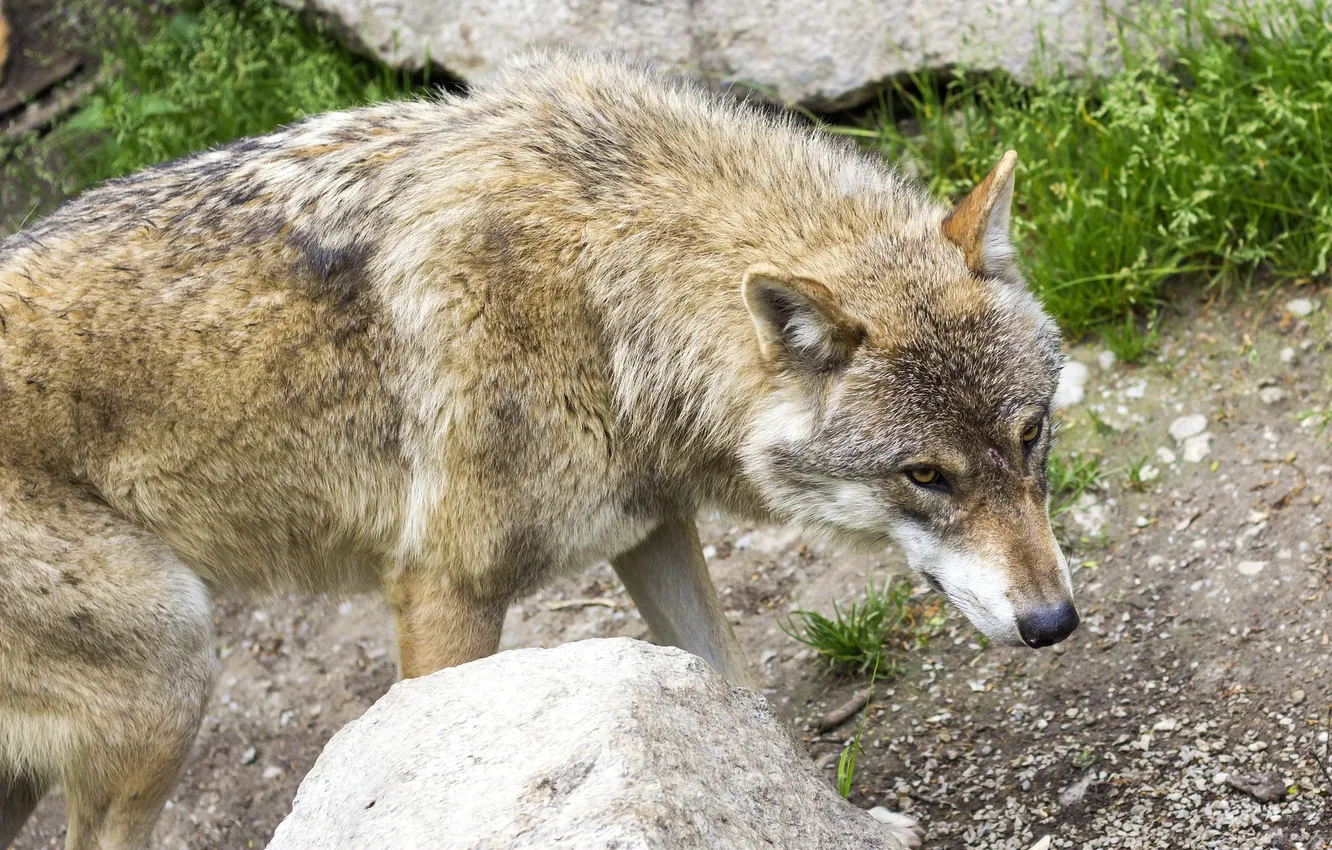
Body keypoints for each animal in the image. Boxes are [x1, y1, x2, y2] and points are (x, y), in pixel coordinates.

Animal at [0, 51, 1076, 849]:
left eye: (1031, 435)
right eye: (925, 475)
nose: (1054, 622)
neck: (610, 298)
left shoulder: (651, 527)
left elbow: (737, 691)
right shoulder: (443, 589)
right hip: (174, 671)